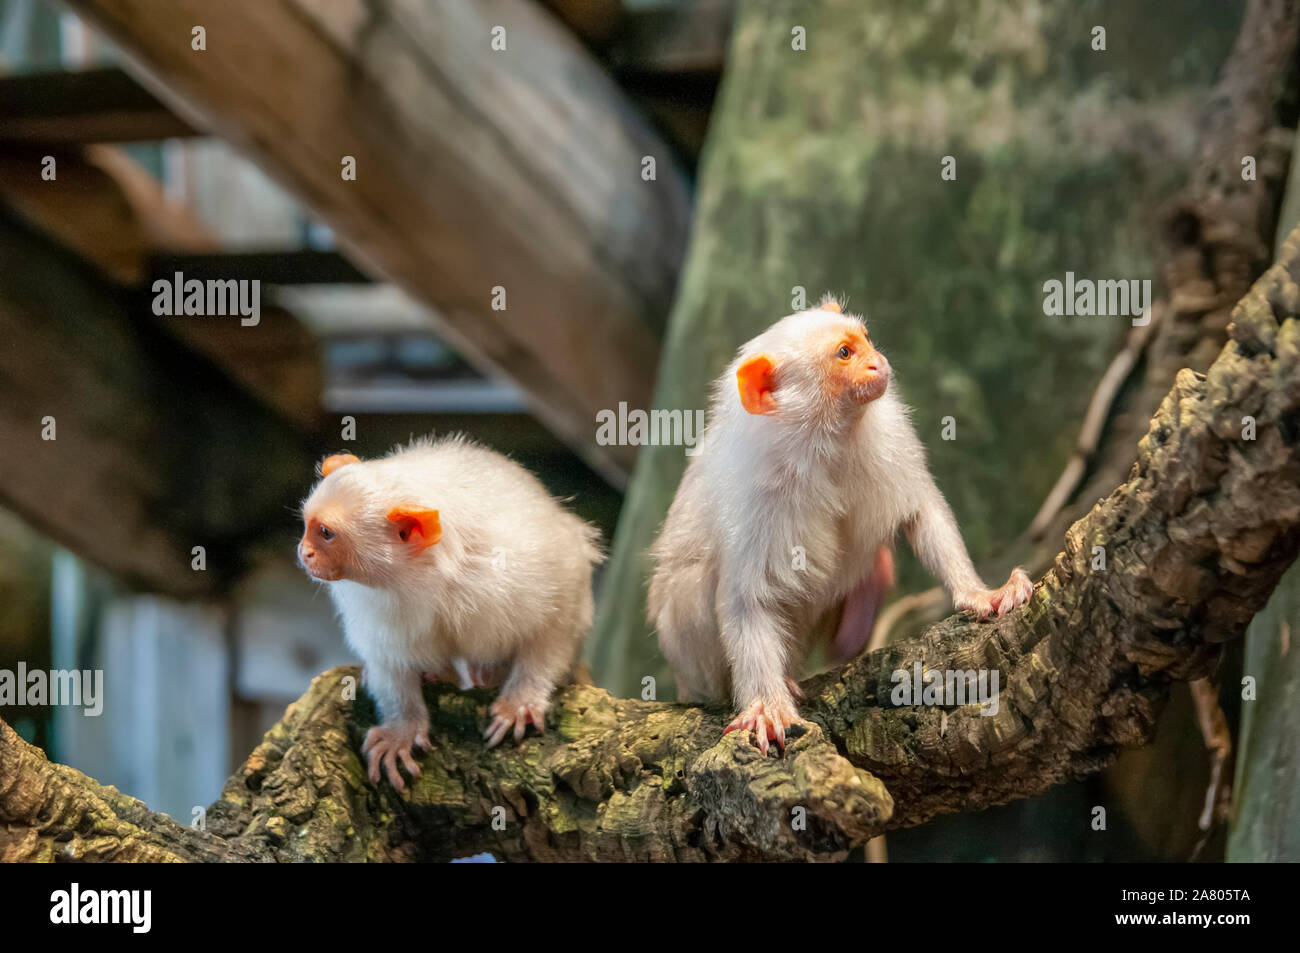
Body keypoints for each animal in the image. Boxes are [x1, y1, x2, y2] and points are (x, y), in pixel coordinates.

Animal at [297, 435, 602, 789]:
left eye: (326, 533)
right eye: (307, 525)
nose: (303, 552)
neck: (426, 578)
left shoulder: (528, 564)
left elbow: (555, 623)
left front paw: (520, 702)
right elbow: (390, 664)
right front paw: (402, 730)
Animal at [648, 297, 1033, 755]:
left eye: (866, 340)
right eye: (845, 354)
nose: (878, 362)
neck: (825, 442)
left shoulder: (889, 439)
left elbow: (923, 512)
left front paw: (980, 594)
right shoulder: (752, 499)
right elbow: (746, 602)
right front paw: (768, 706)